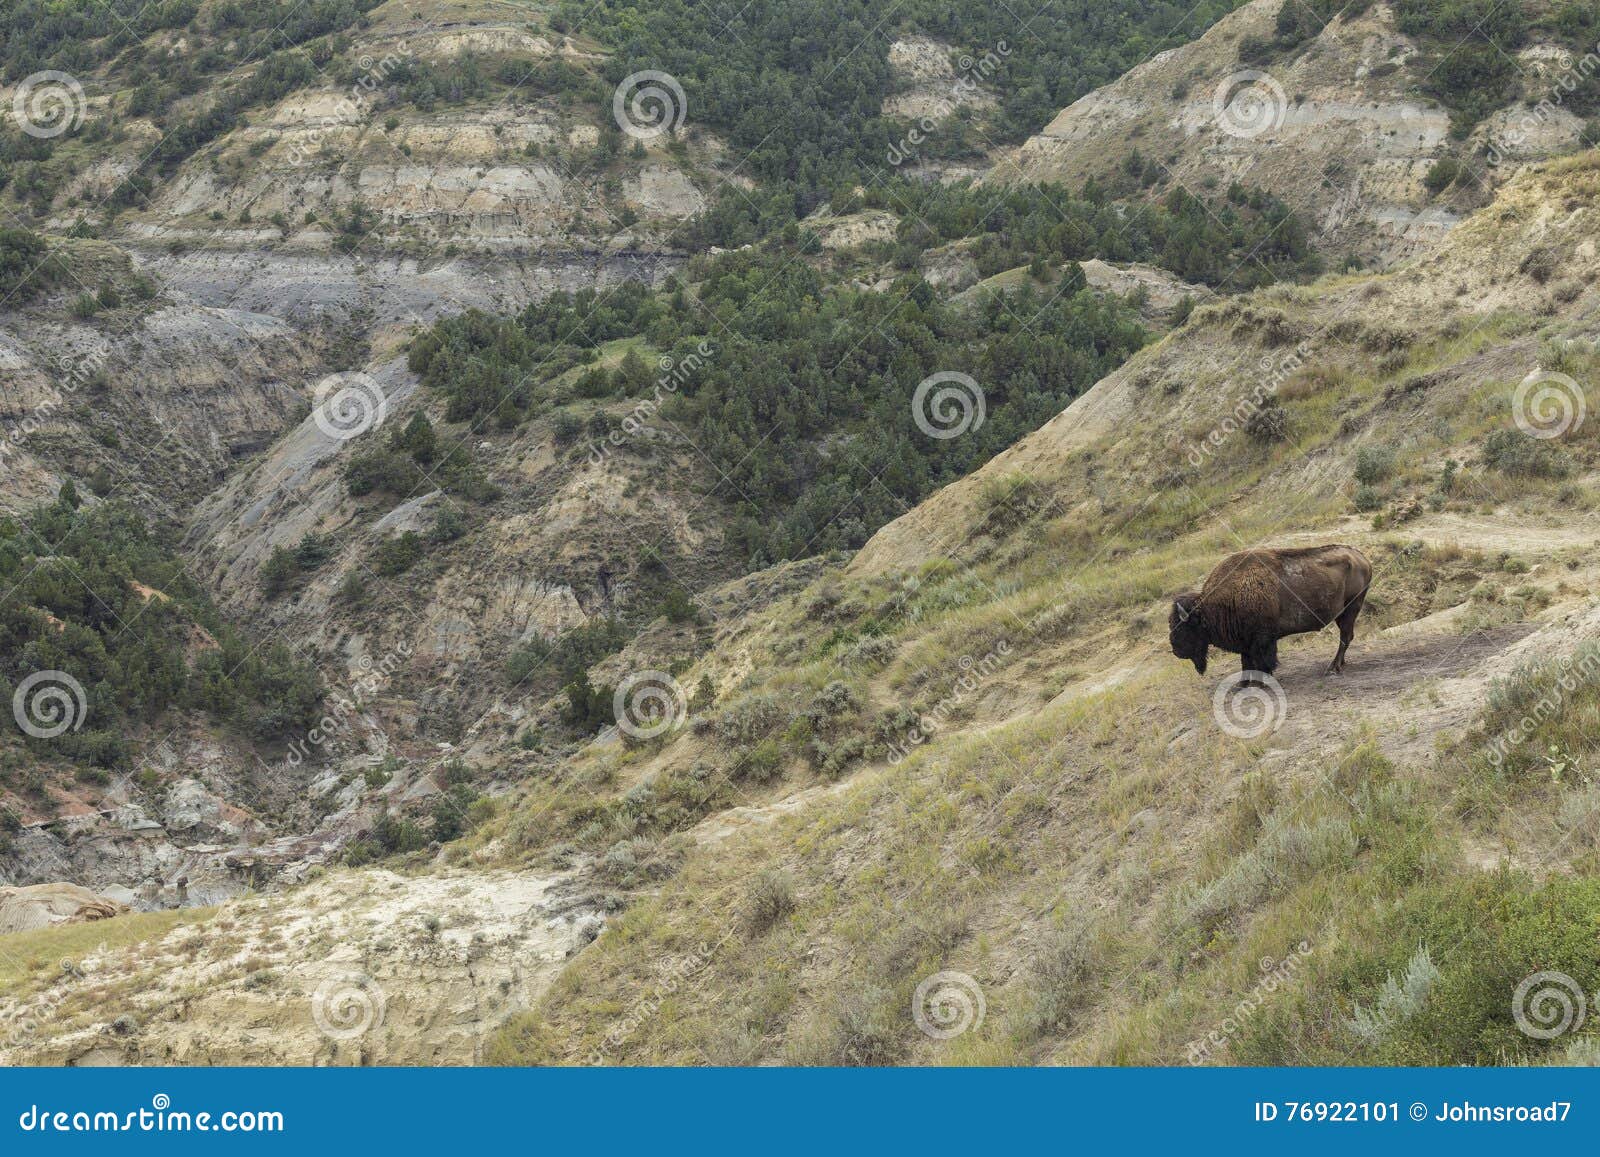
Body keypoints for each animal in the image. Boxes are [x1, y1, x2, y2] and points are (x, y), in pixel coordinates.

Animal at [1169, 545, 1372, 681]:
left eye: (1182, 627)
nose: (1176, 651)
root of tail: (1361, 557)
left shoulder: (1262, 639)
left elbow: (1263, 661)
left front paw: (1263, 679)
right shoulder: (1246, 642)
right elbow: (1246, 662)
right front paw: (1244, 683)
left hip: (1350, 609)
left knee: (1345, 637)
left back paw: (1333, 668)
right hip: (1344, 613)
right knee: (1346, 637)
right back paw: (1340, 664)